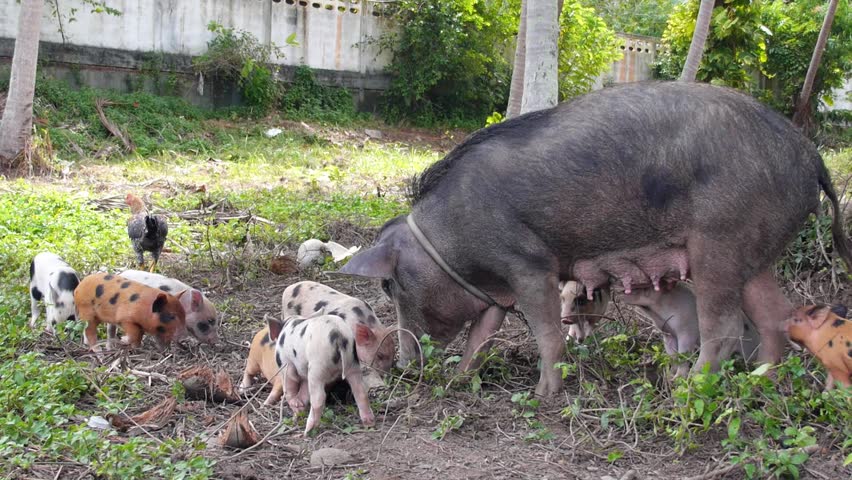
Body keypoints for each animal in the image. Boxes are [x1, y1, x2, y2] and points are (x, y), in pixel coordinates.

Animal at [339, 82, 852, 396]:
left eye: (388, 284)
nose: (402, 365)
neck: (448, 237)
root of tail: (810, 155)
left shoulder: (529, 264)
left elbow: (546, 332)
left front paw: (544, 395)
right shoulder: (493, 289)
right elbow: (482, 336)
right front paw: (461, 380)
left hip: (721, 242)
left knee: (723, 325)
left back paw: (688, 390)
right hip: (756, 253)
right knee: (774, 316)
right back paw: (762, 381)